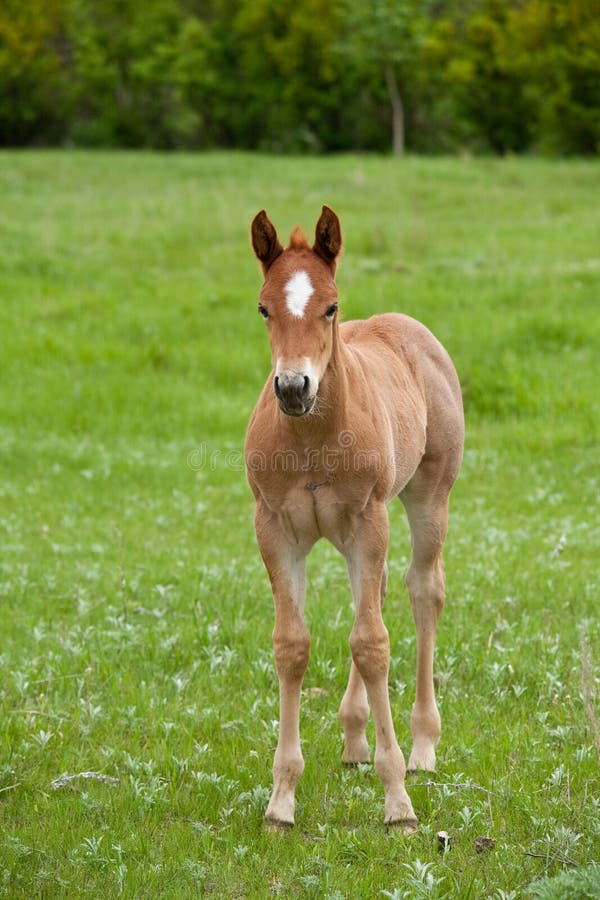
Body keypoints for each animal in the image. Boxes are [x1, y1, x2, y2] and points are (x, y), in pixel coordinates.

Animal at [244, 206, 464, 830]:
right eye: (264, 308)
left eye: (331, 306)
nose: (294, 388)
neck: (313, 439)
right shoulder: (275, 529)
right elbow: (291, 645)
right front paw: (281, 800)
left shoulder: (368, 521)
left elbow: (371, 644)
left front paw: (398, 805)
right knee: (382, 590)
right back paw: (353, 739)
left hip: (425, 498)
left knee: (422, 591)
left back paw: (421, 746)